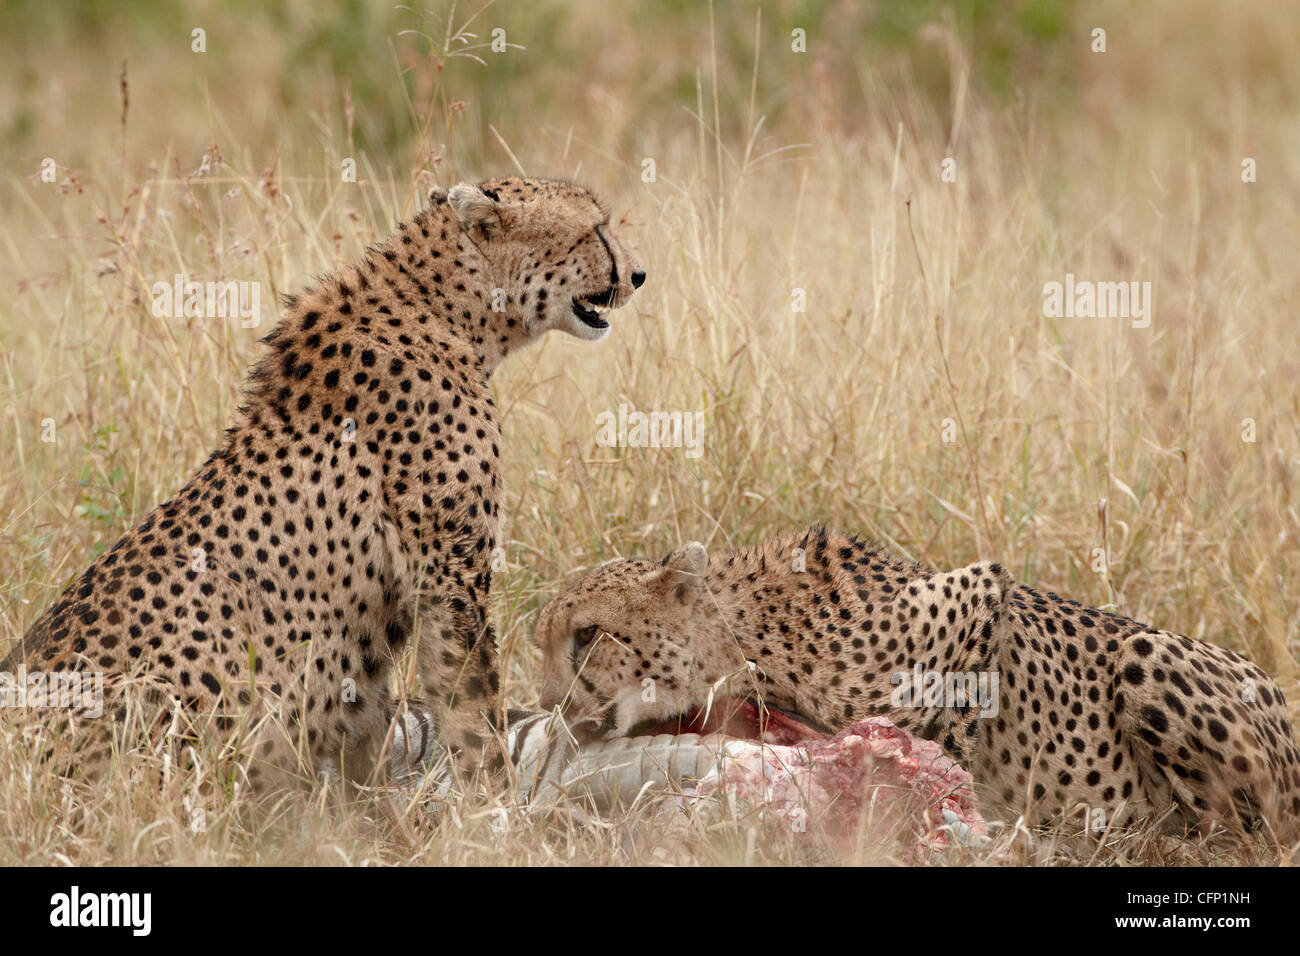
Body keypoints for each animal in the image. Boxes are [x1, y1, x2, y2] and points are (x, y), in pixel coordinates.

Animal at [6, 176, 644, 788]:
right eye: (595, 229)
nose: (638, 274)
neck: (447, 311)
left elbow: (373, 729)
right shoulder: (448, 577)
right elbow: (469, 700)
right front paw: (494, 804)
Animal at [533, 528, 1300, 843]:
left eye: (587, 634)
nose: (546, 706)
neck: (749, 635)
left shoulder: (973, 599)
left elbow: (952, 728)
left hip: (1148, 652)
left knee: (1248, 830)